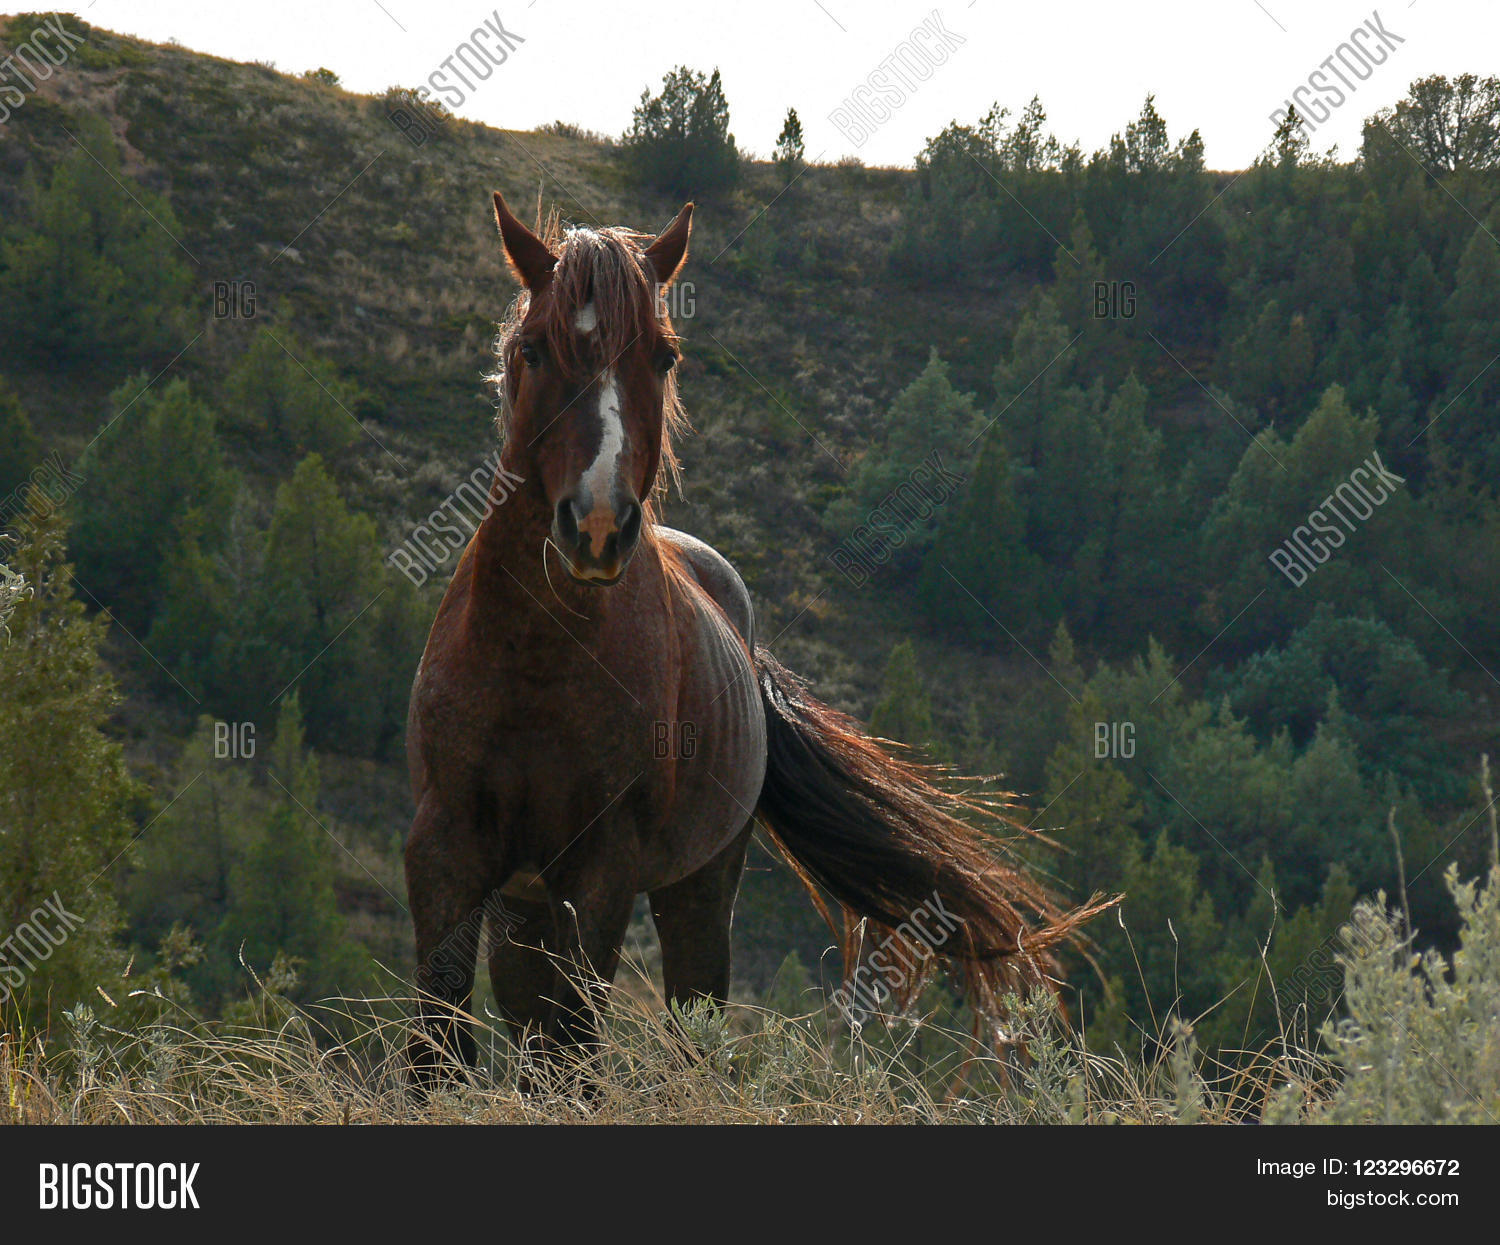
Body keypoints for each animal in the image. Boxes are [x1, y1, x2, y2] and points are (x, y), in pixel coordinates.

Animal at [403, 191, 1108, 1086]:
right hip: (527, 908)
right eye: (532, 349)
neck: (532, 663)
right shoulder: (446, 855)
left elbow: (577, 1051)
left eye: (663, 357)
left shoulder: (600, 875)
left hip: (694, 891)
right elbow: (436, 1050)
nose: (595, 526)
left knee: (676, 1018)